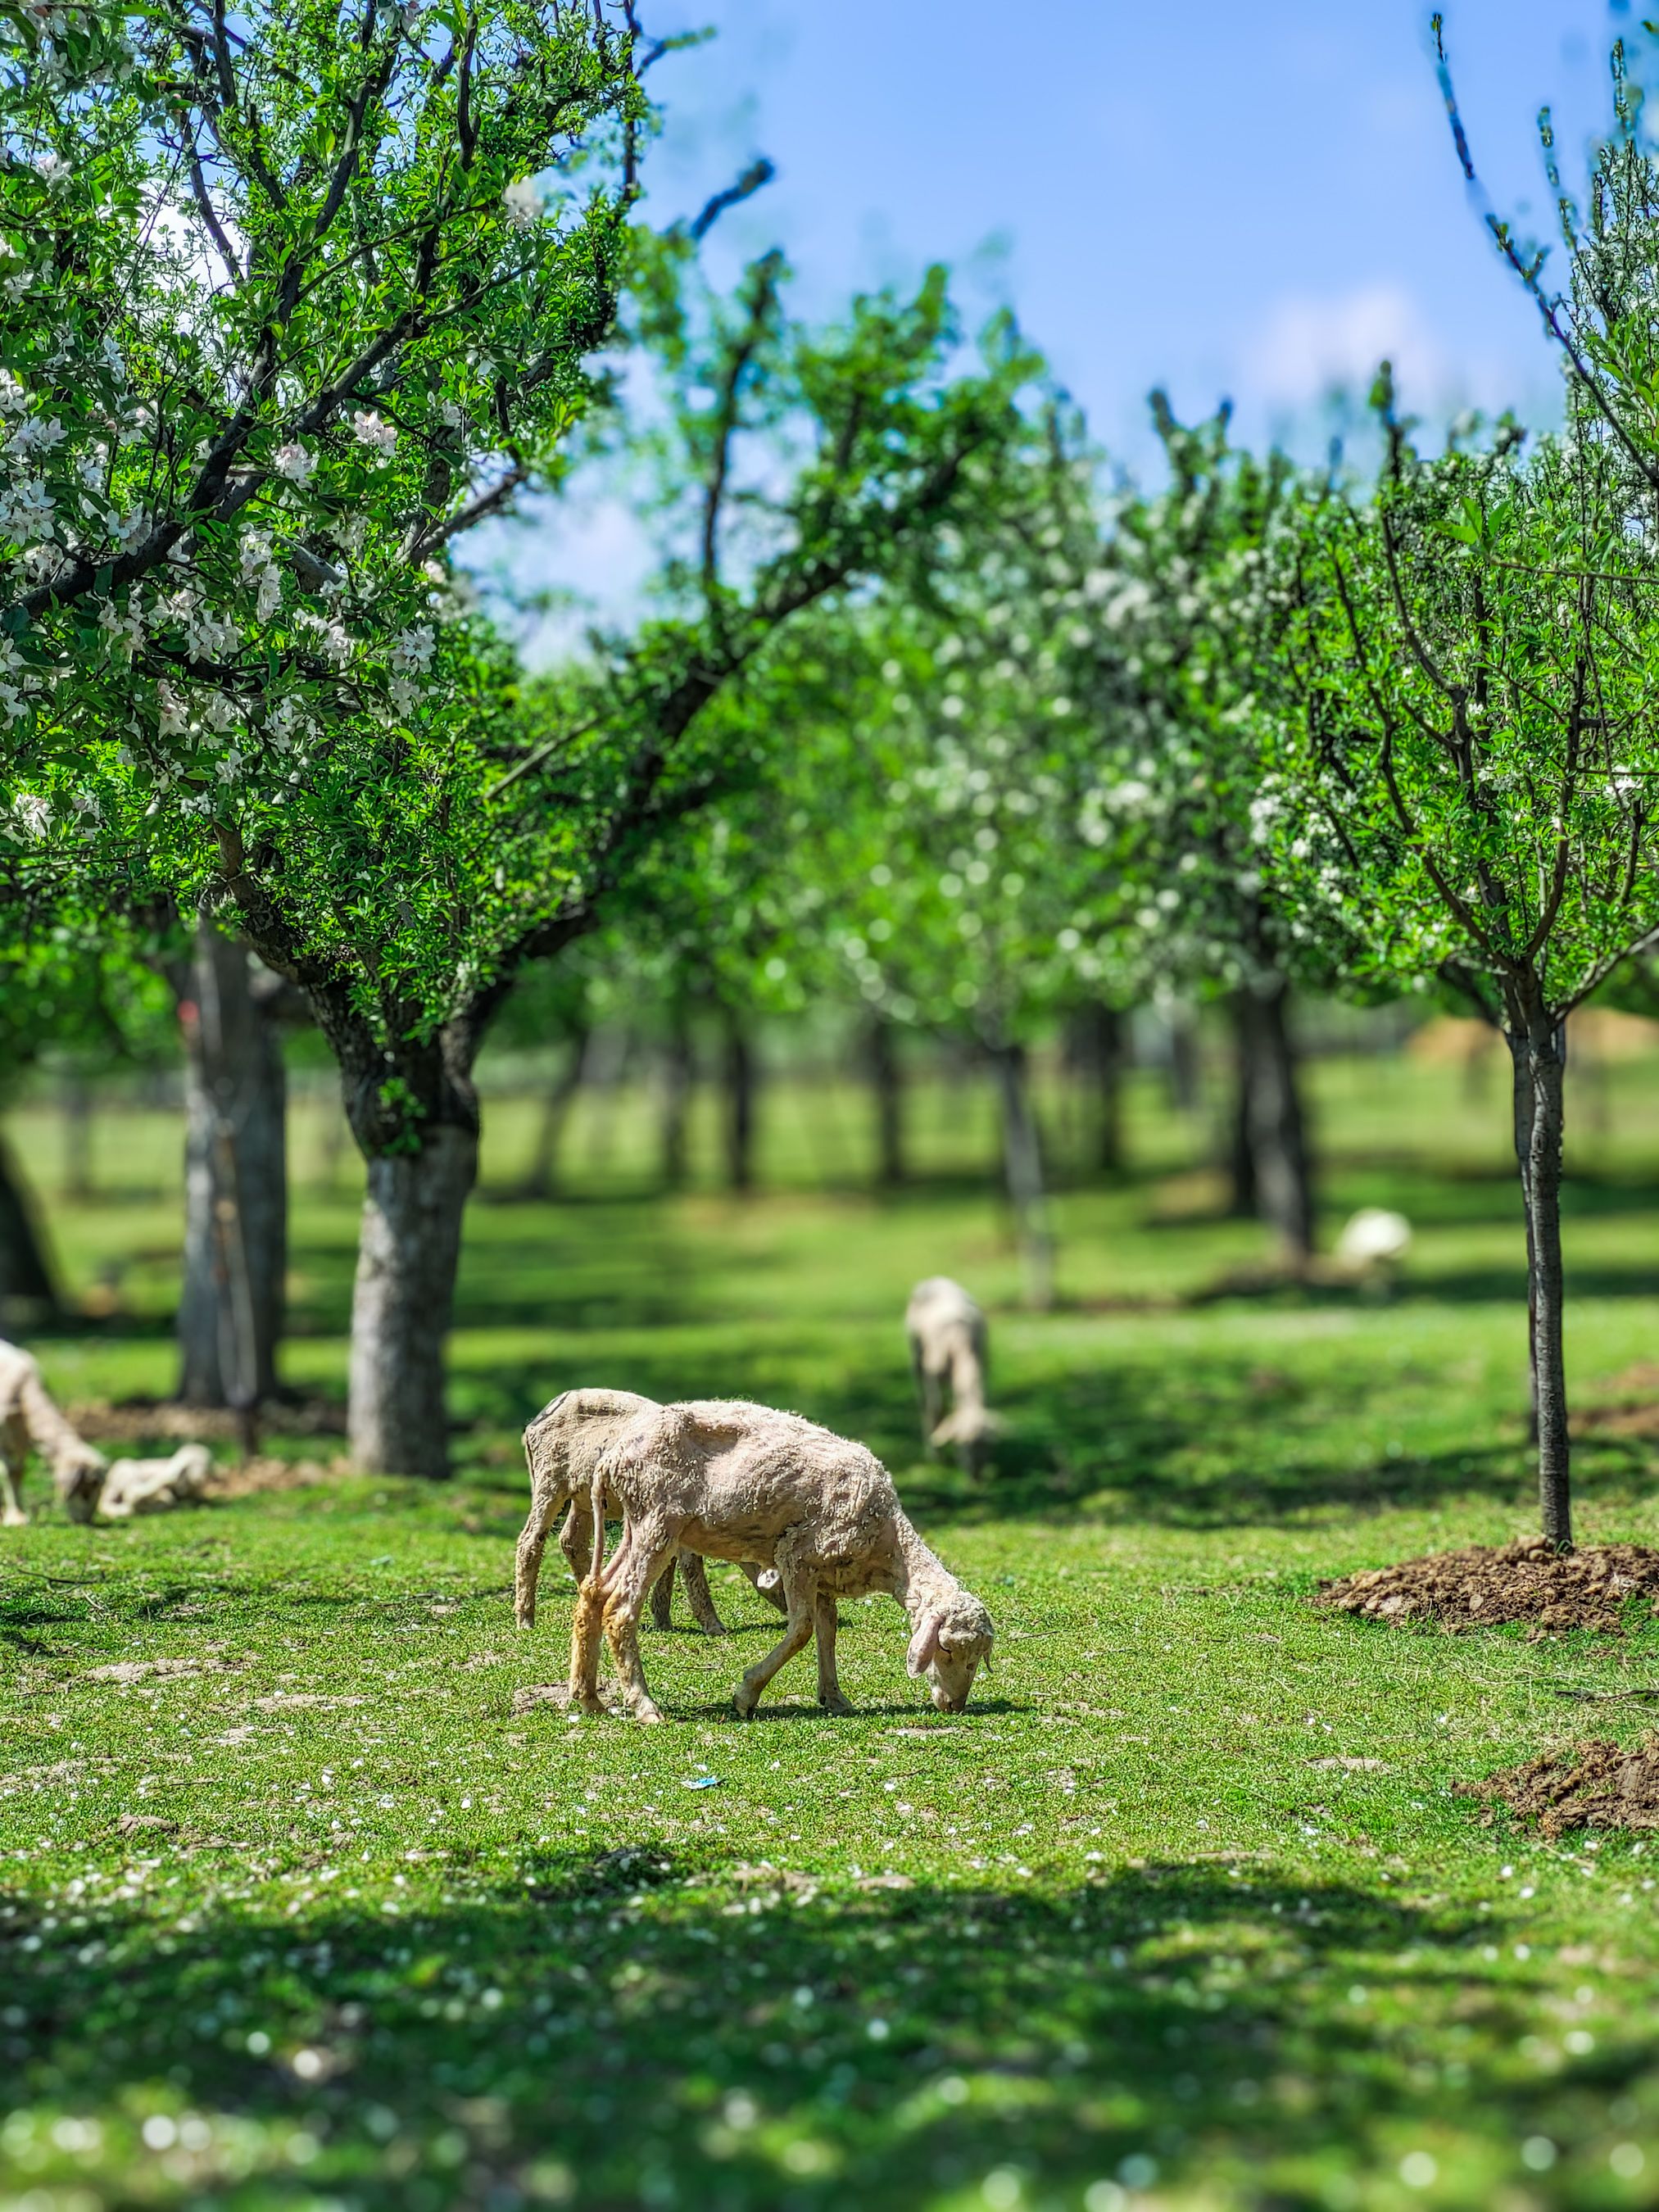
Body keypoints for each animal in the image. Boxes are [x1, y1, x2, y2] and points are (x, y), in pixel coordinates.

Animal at [0, 1339, 106, 1526]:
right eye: (85, 1492)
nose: (86, 1521)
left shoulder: (23, 1434)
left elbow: (18, 1471)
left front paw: (19, 1515)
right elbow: (10, 1472)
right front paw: (16, 1518)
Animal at [569, 1397, 995, 1725]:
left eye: (978, 1659)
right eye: (947, 1649)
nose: (955, 1706)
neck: (888, 1549)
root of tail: (613, 1458)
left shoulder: (825, 1573)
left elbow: (828, 1629)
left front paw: (833, 1697)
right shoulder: (797, 1555)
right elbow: (802, 1630)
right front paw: (746, 1694)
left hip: (637, 1524)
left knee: (594, 1593)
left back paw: (588, 1698)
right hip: (657, 1521)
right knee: (620, 1609)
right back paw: (644, 1706)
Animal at [906, 1277, 999, 1473]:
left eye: (987, 1445)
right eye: (963, 1444)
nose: (977, 1475)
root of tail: (935, 1278)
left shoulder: (983, 1370)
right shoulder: (932, 1376)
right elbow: (937, 1407)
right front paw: (936, 1455)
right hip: (917, 1359)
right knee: (924, 1402)